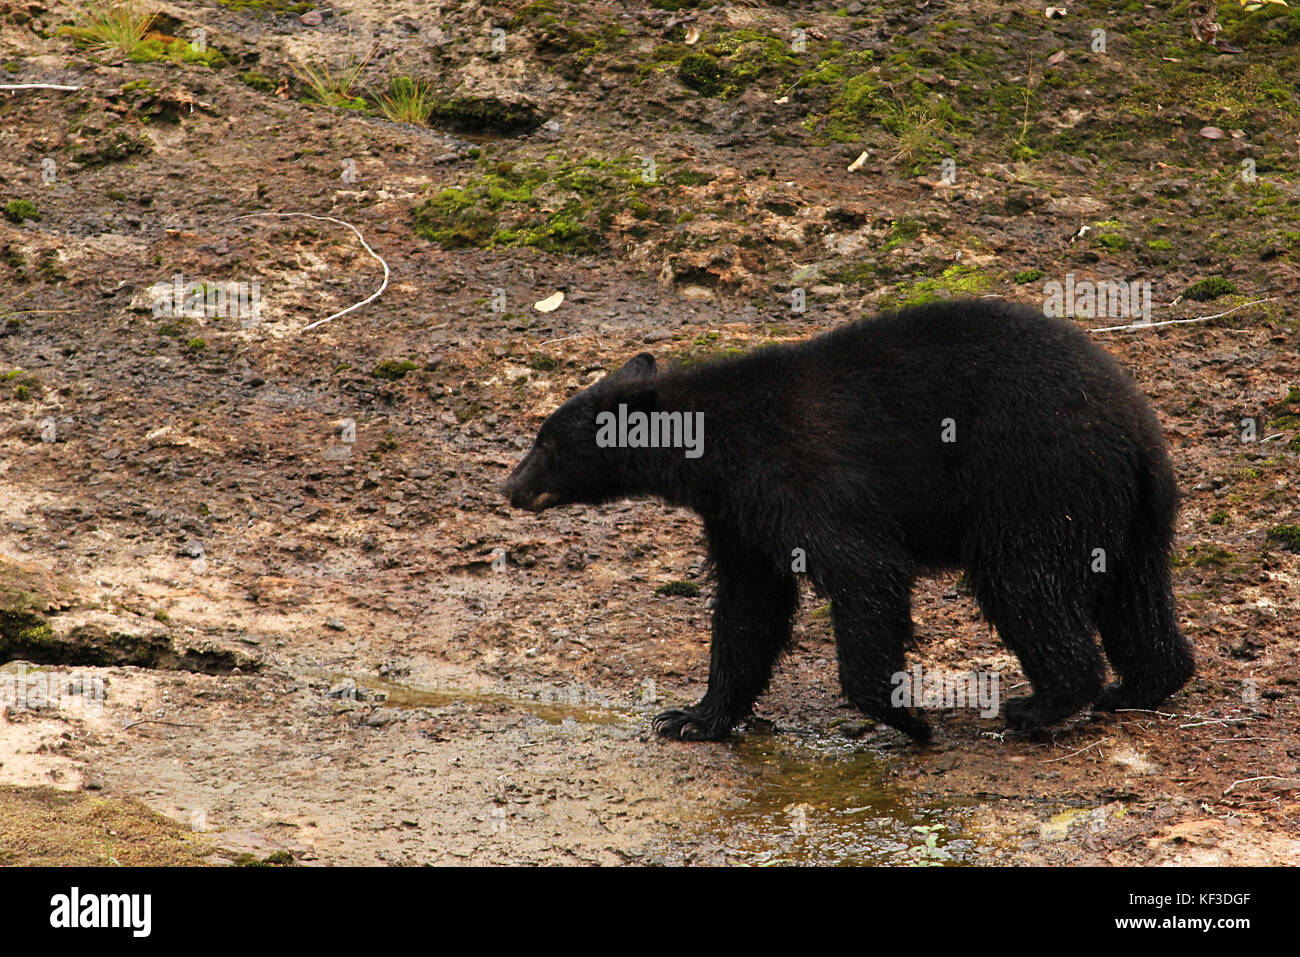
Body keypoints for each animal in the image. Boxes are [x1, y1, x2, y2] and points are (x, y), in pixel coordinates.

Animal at [502, 298, 1194, 743]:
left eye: (544, 442)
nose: (510, 487)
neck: (717, 447)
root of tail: (1136, 429)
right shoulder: (740, 513)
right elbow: (749, 606)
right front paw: (692, 717)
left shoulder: (802, 477)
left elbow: (864, 573)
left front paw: (907, 719)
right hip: (1131, 509)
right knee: (1135, 592)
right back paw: (1141, 685)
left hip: (1032, 481)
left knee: (1024, 584)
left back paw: (1039, 706)